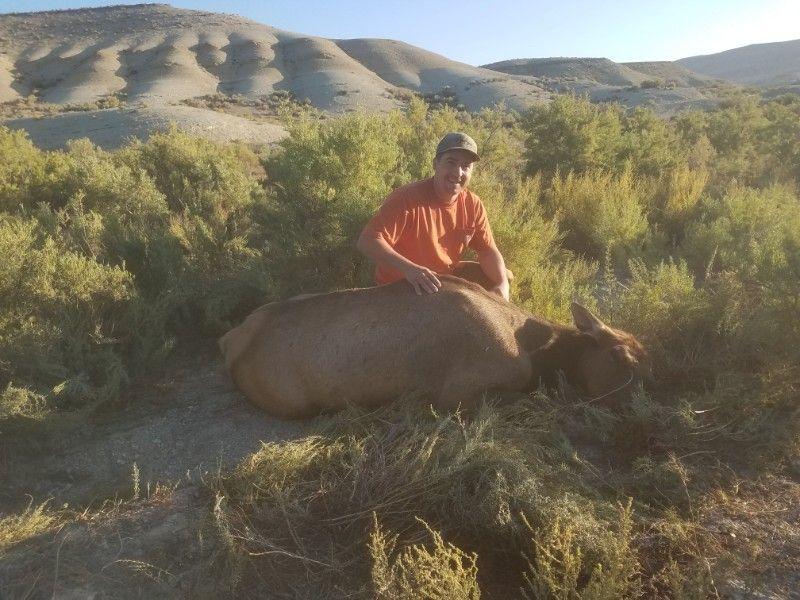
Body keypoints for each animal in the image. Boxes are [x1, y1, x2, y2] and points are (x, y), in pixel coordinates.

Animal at [218, 274, 650, 420]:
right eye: (620, 356)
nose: (639, 410)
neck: (536, 352)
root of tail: (231, 341)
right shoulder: (457, 396)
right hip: (294, 404)